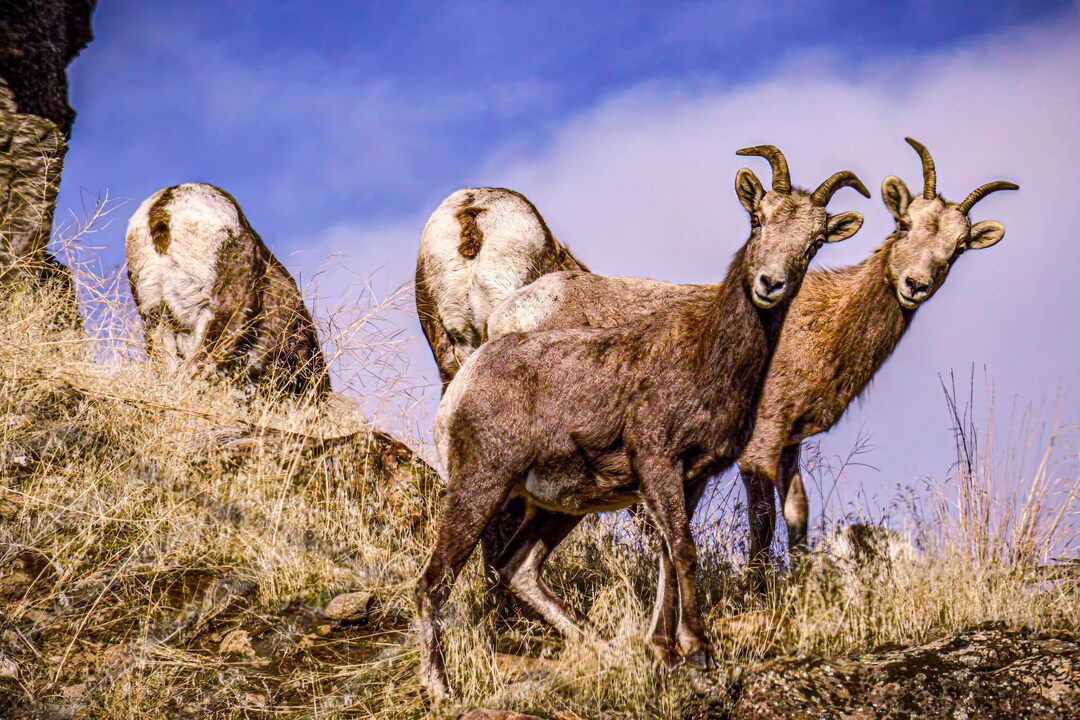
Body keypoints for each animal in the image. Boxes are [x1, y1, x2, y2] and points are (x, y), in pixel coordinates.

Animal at [487, 139, 1018, 587]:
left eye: (958, 247)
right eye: (905, 224)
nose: (914, 284)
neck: (824, 325)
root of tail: (508, 314)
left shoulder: (790, 444)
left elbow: (798, 511)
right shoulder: (759, 443)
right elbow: (763, 520)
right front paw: (757, 590)